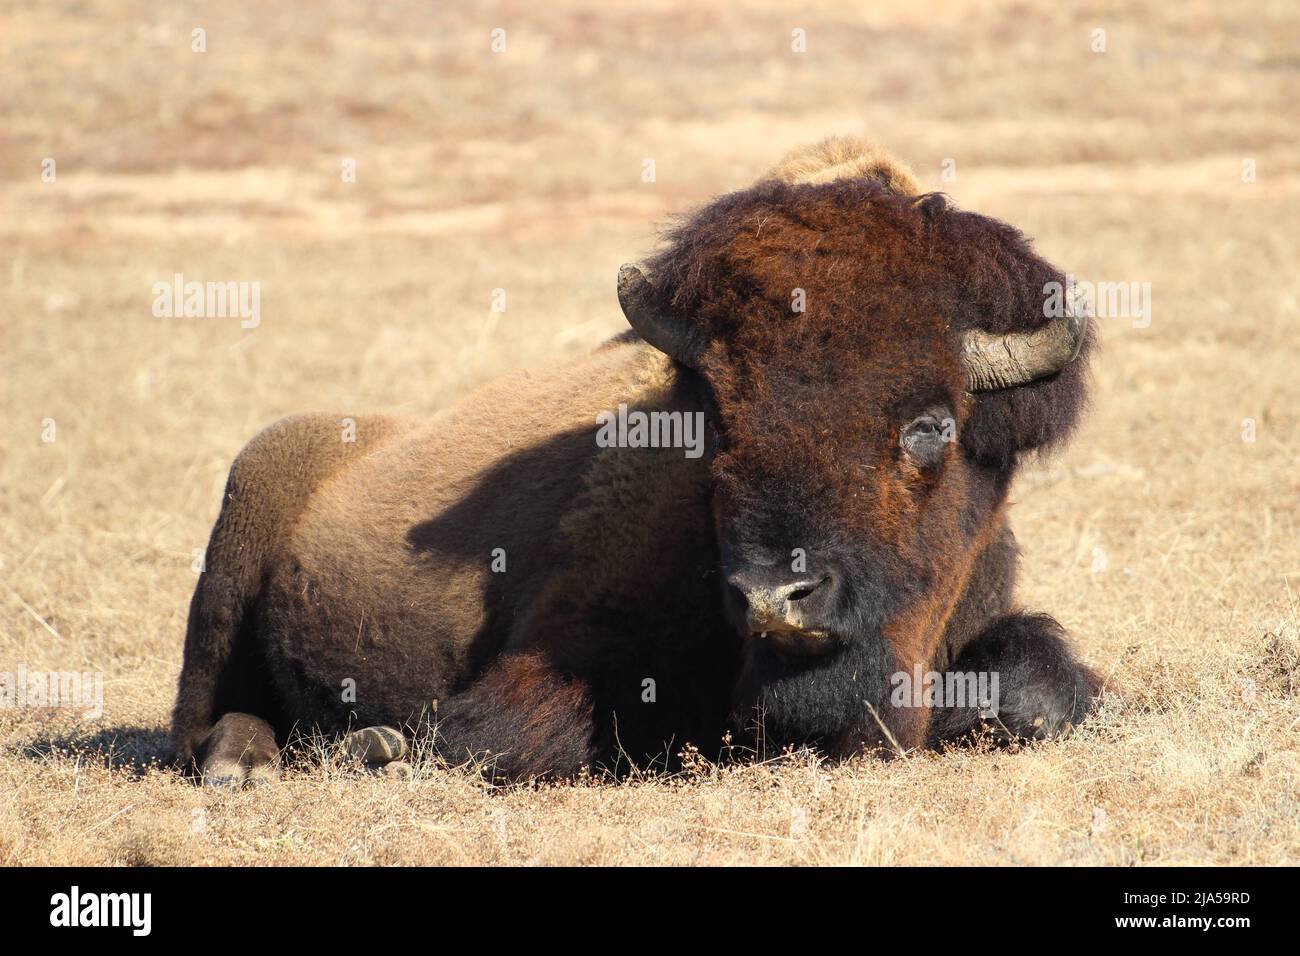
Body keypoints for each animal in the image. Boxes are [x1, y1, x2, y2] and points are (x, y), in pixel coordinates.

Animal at [172, 136, 1099, 785]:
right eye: (717, 418)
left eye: (930, 425)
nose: (776, 596)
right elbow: (503, 736)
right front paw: (379, 747)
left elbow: (1044, 691)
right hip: (234, 543)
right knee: (203, 717)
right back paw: (249, 763)